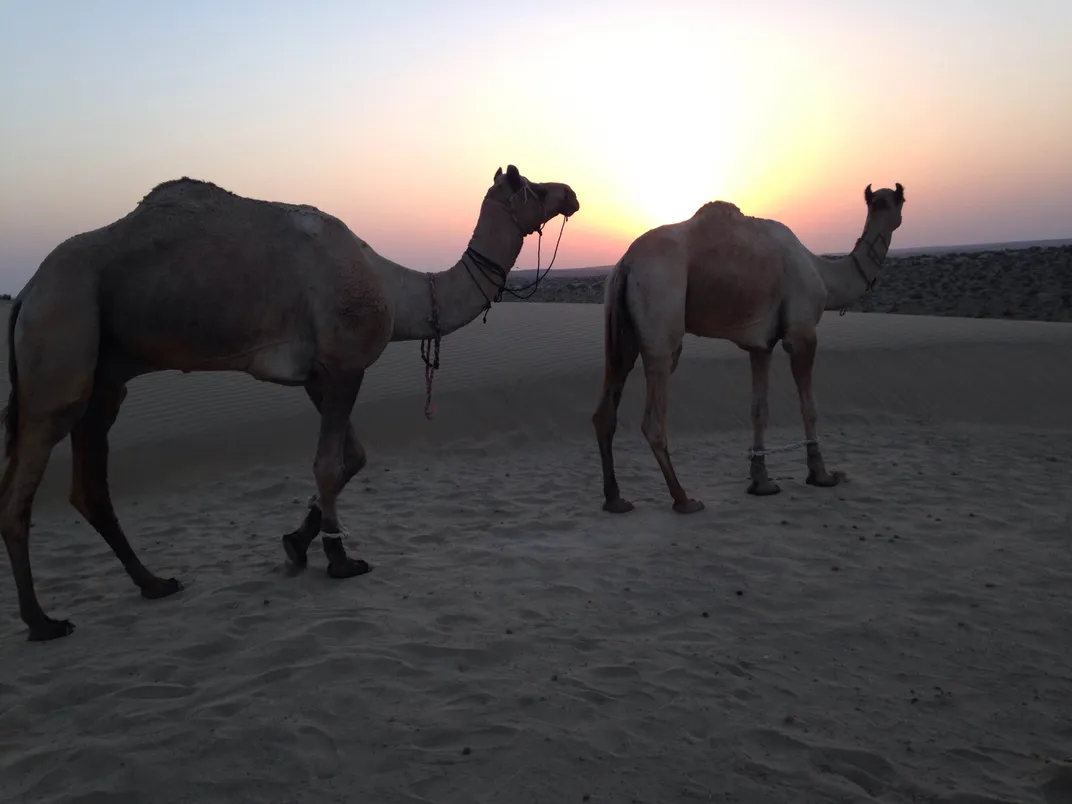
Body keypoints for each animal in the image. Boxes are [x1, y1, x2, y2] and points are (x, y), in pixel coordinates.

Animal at [1, 164, 579, 642]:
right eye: (531, 185)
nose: (571, 193)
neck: (398, 291)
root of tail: (27, 292)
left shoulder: (318, 375)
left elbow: (353, 458)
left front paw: (298, 542)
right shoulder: (345, 363)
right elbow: (328, 463)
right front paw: (340, 557)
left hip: (106, 376)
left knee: (90, 484)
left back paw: (155, 583)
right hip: (61, 341)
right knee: (20, 488)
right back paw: (42, 621)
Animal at [592, 183, 904, 514]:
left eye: (889, 200)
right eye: (899, 200)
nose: (895, 214)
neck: (824, 274)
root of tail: (626, 263)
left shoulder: (761, 346)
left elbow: (759, 409)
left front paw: (761, 482)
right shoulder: (802, 333)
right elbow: (809, 407)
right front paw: (821, 474)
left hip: (620, 329)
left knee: (607, 406)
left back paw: (615, 499)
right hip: (660, 312)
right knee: (653, 416)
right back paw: (684, 499)